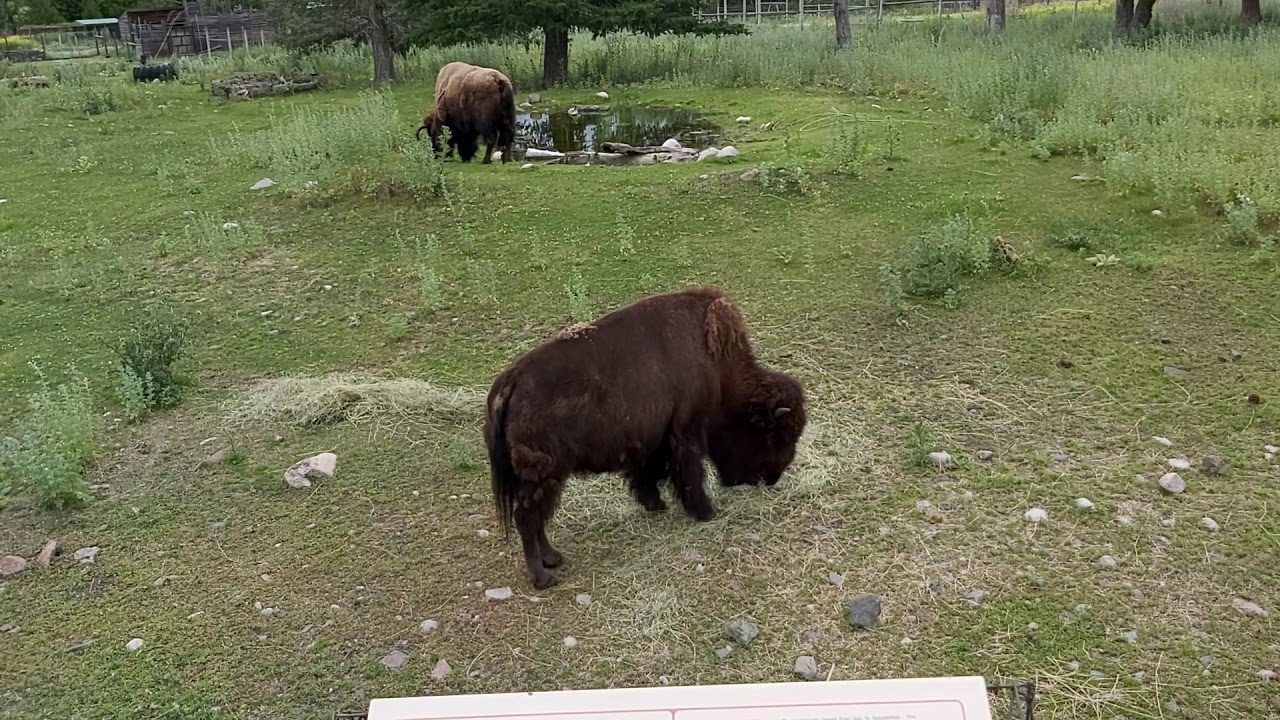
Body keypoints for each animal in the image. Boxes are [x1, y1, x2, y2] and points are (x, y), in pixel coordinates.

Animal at [484, 286, 807, 589]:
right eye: (775, 436)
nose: (774, 476)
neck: (717, 365)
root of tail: (510, 381)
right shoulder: (687, 434)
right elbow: (689, 474)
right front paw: (705, 511)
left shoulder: (654, 441)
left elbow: (648, 474)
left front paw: (656, 504)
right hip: (544, 475)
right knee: (528, 518)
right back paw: (543, 576)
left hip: (547, 477)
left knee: (536, 518)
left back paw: (553, 558)